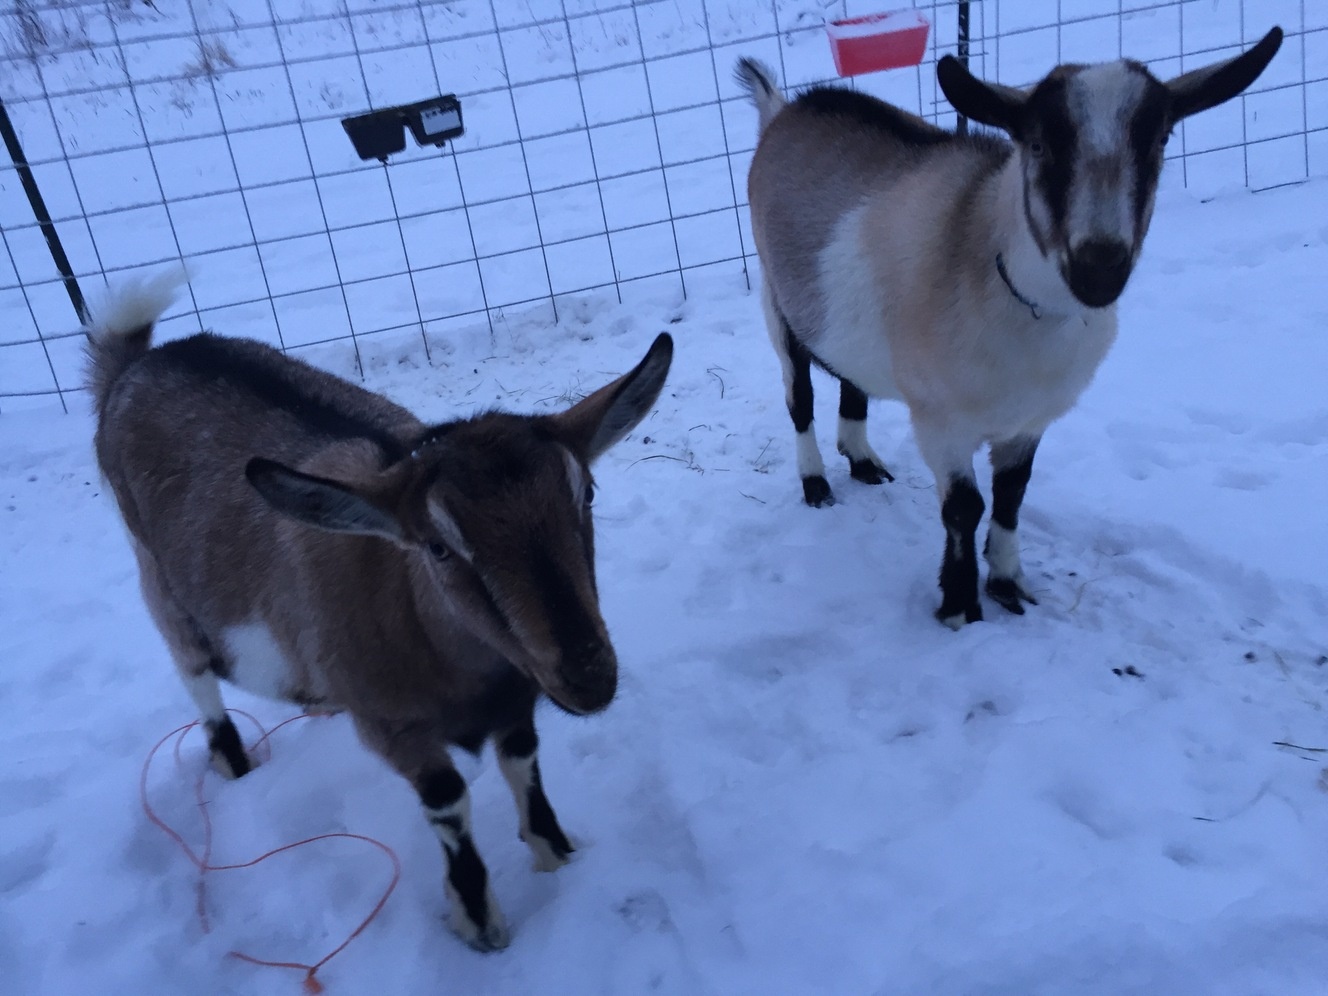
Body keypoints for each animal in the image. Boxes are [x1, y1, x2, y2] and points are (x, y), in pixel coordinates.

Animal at [87, 274, 673, 951]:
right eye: (438, 547)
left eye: (588, 494)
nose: (589, 674)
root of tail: (136, 363)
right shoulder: (393, 728)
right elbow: (449, 803)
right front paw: (480, 922)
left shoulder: (518, 695)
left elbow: (523, 766)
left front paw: (557, 856)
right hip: (158, 581)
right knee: (194, 671)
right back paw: (234, 763)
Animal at [736, 29, 1281, 628]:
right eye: (1038, 144)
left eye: (1160, 139)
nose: (1099, 266)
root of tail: (784, 110)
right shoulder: (940, 420)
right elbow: (964, 506)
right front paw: (959, 605)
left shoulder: (1029, 421)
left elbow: (1012, 495)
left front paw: (1007, 582)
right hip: (776, 301)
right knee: (800, 398)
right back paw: (816, 484)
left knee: (852, 381)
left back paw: (863, 463)